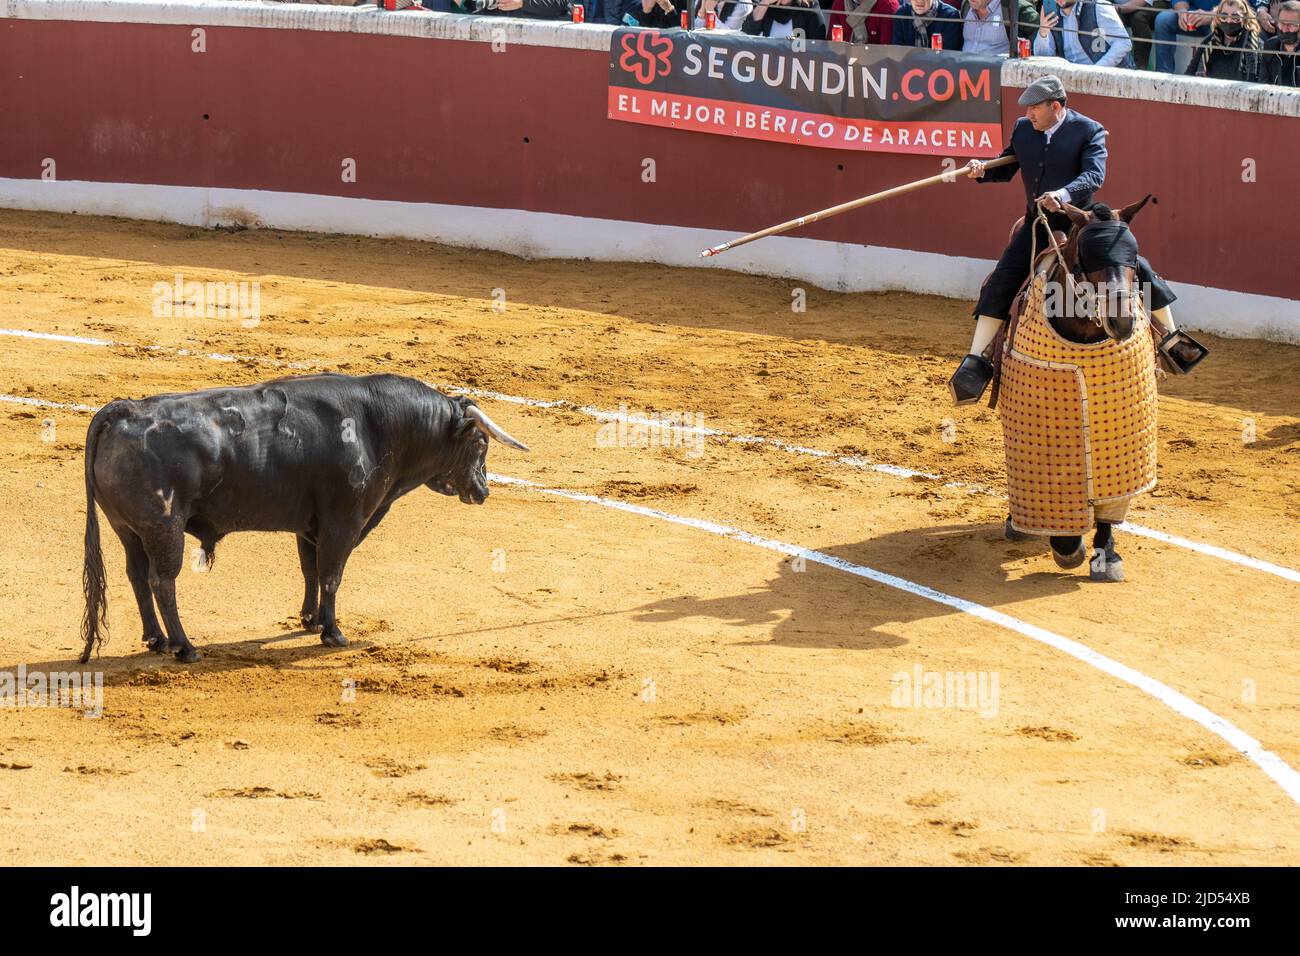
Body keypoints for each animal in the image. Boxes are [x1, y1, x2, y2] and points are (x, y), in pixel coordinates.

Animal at [80, 372, 529, 664]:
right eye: (481, 444)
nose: (483, 491)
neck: (378, 427)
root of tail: (122, 410)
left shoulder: (309, 525)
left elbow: (309, 569)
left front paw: (310, 621)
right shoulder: (344, 522)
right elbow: (331, 574)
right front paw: (333, 632)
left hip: (128, 529)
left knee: (138, 576)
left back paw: (156, 639)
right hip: (164, 527)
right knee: (163, 581)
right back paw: (185, 648)